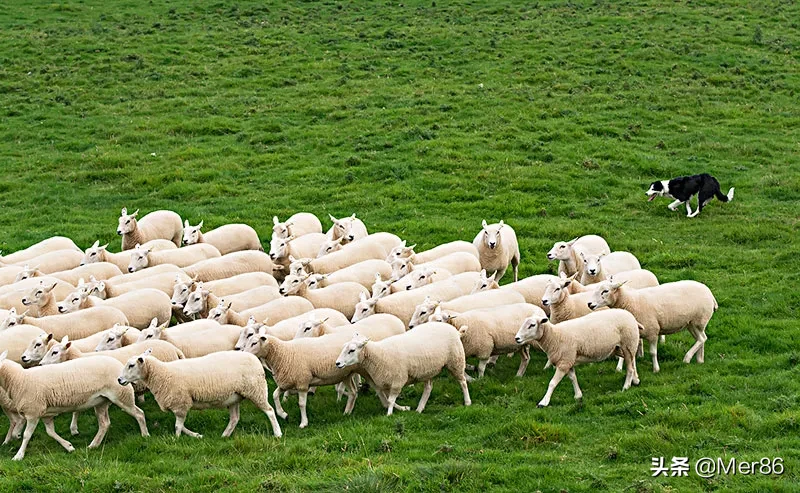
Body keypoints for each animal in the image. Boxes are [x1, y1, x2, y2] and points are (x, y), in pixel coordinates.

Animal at [0, 351, 149, 460]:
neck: (19, 379)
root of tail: (119, 365)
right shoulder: (45, 413)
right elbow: (50, 432)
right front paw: (69, 446)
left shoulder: (33, 413)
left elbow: (26, 435)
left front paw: (18, 455)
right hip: (101, 401)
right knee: (104, 424)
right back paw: (93, 445)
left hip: (121, 395)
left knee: (139, 414)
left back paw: (145, 435)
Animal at [119, 348, 281, 438]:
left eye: (131, 365)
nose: (119, 380)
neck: (162, 373)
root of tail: (255, 359)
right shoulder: (179, 405)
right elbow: (182, 426)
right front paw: (196, 435)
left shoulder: (181, 403)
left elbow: (178, 426)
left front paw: (176, 439)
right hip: (234, 397)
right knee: (234, 418)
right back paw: (224, 435)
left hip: (256, 390)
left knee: (270, 411)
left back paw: (277, 433)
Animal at [335, 322, 471, 415]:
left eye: (352, 350)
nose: (337, 363)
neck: (379, 354)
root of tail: (456, 331)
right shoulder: (386, 382)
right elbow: (389, 400)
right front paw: (402, 409)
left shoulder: (397, 380)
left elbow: (390, 400)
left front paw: (389, 415)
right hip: (428, 369)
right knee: (428, 388)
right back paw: (419, 408)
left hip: (456, 361)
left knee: (463, 382)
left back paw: (467, 402)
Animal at [588, 279, 717, 372]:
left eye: (605, 291)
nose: (589, 304)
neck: (631, 301)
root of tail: (710, 293)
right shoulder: (632, 333)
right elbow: (625, 353)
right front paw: (619, 368)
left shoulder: (653, 331)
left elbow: (653, 352)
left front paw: (656, 369)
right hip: (692, 323)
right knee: (701, 339)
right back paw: (700, 360)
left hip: (698, 320)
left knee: (702, 338)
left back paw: (687, 358)